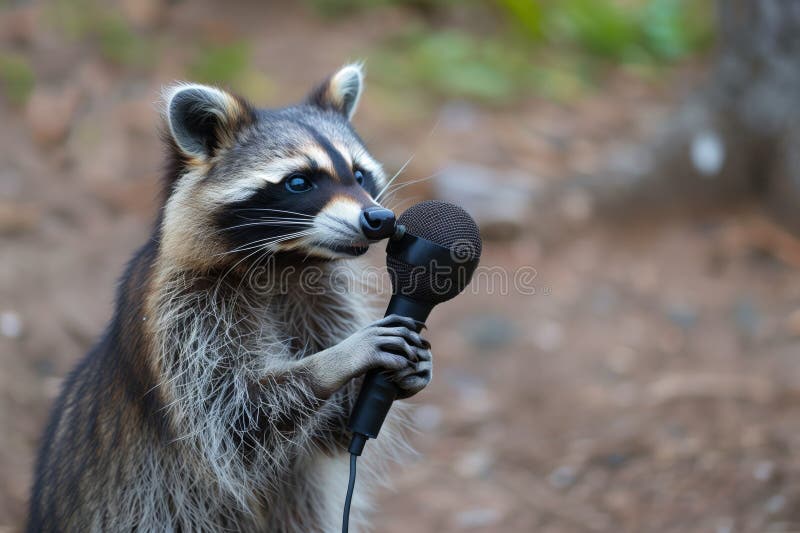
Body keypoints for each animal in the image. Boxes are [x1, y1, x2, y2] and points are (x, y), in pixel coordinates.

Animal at [27, 64, 433, 532]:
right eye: (299, 181)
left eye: (360, 174)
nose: (379, 219)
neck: (284, 260)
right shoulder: (180, 310)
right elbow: (233, 417)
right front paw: (338, 359)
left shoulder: (321, 295)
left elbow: (330, 433)